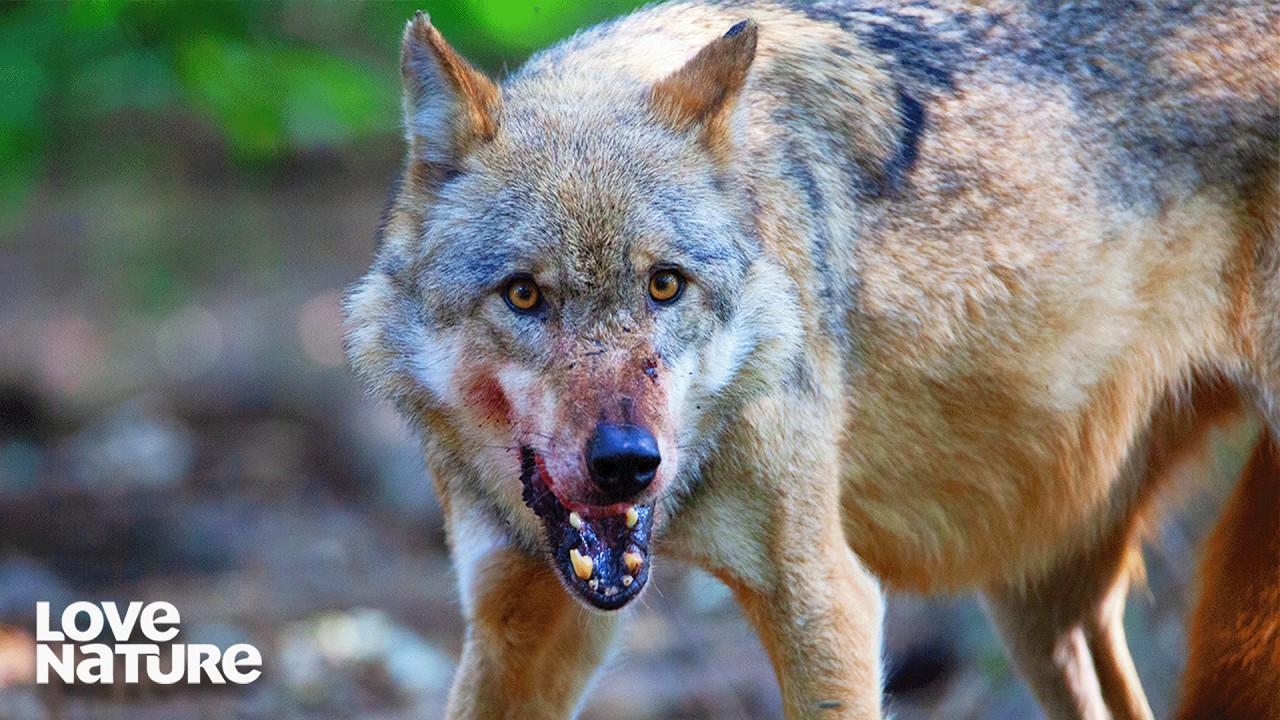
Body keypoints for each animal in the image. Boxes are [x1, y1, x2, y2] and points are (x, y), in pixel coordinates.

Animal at [344, 1, 1279, 717]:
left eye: (664, 286)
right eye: (524, 295)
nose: (627, 464)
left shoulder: (827, 602)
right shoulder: (518, 619)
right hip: (1042, 607)